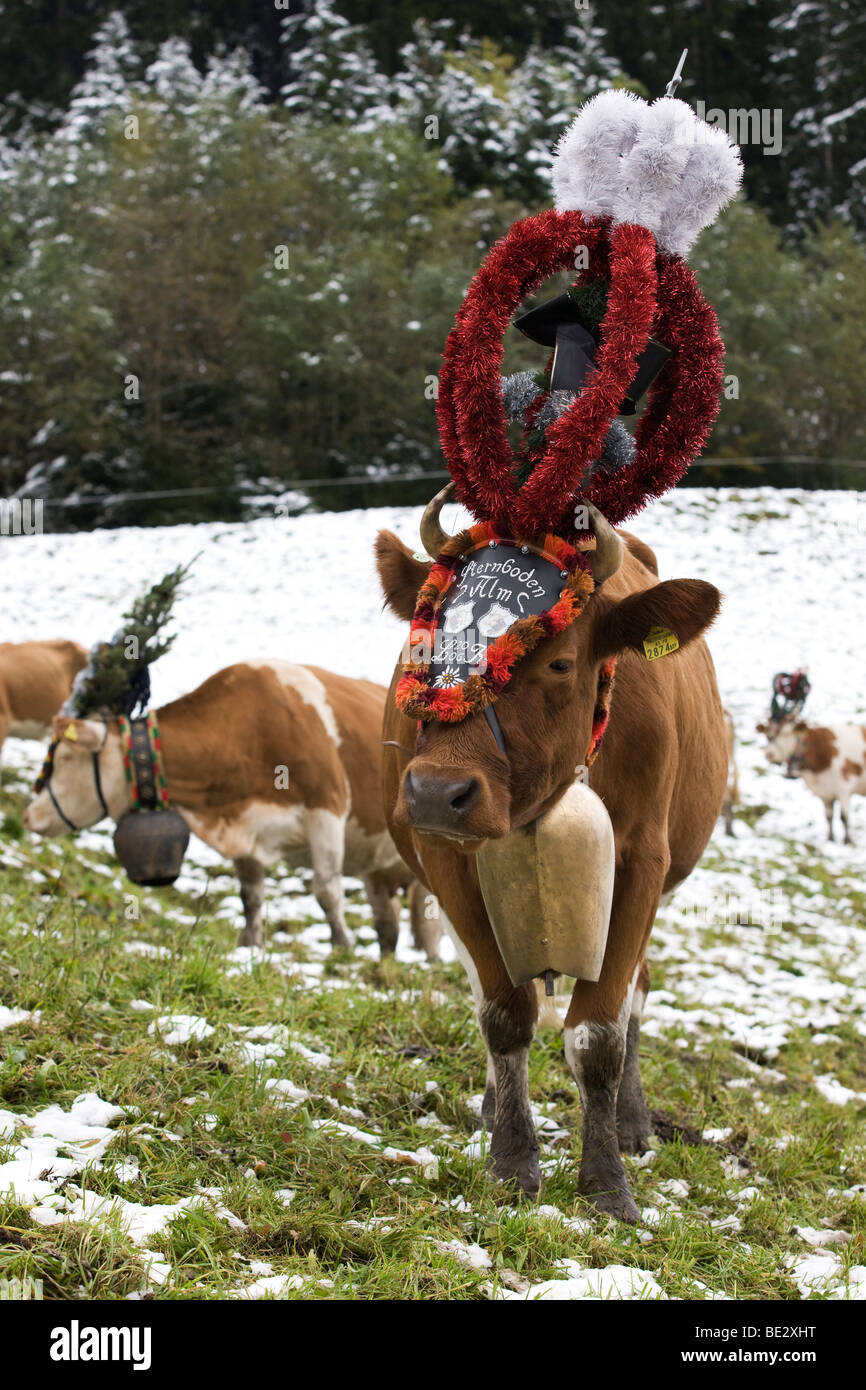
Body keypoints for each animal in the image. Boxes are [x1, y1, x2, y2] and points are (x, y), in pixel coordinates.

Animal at [23, 661, 441, 959]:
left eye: (64, 758)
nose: (29, 815)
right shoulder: (246, 830)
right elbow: (250, 895)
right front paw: (250, 943)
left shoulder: (327, 806)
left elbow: (326, 889)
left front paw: (342, 944)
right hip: (380, 868)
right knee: (387, 922)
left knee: (428, 917)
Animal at [375, 494, 727, 1222]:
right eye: (423, 645)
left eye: (560, 662)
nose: (436, 792)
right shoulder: (445, 859)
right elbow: (504, 1013)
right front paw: (512, 1161)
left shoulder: (639, 863)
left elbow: (600, 1032)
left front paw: (607, 1184)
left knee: (637, 994)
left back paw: (632, 1122)